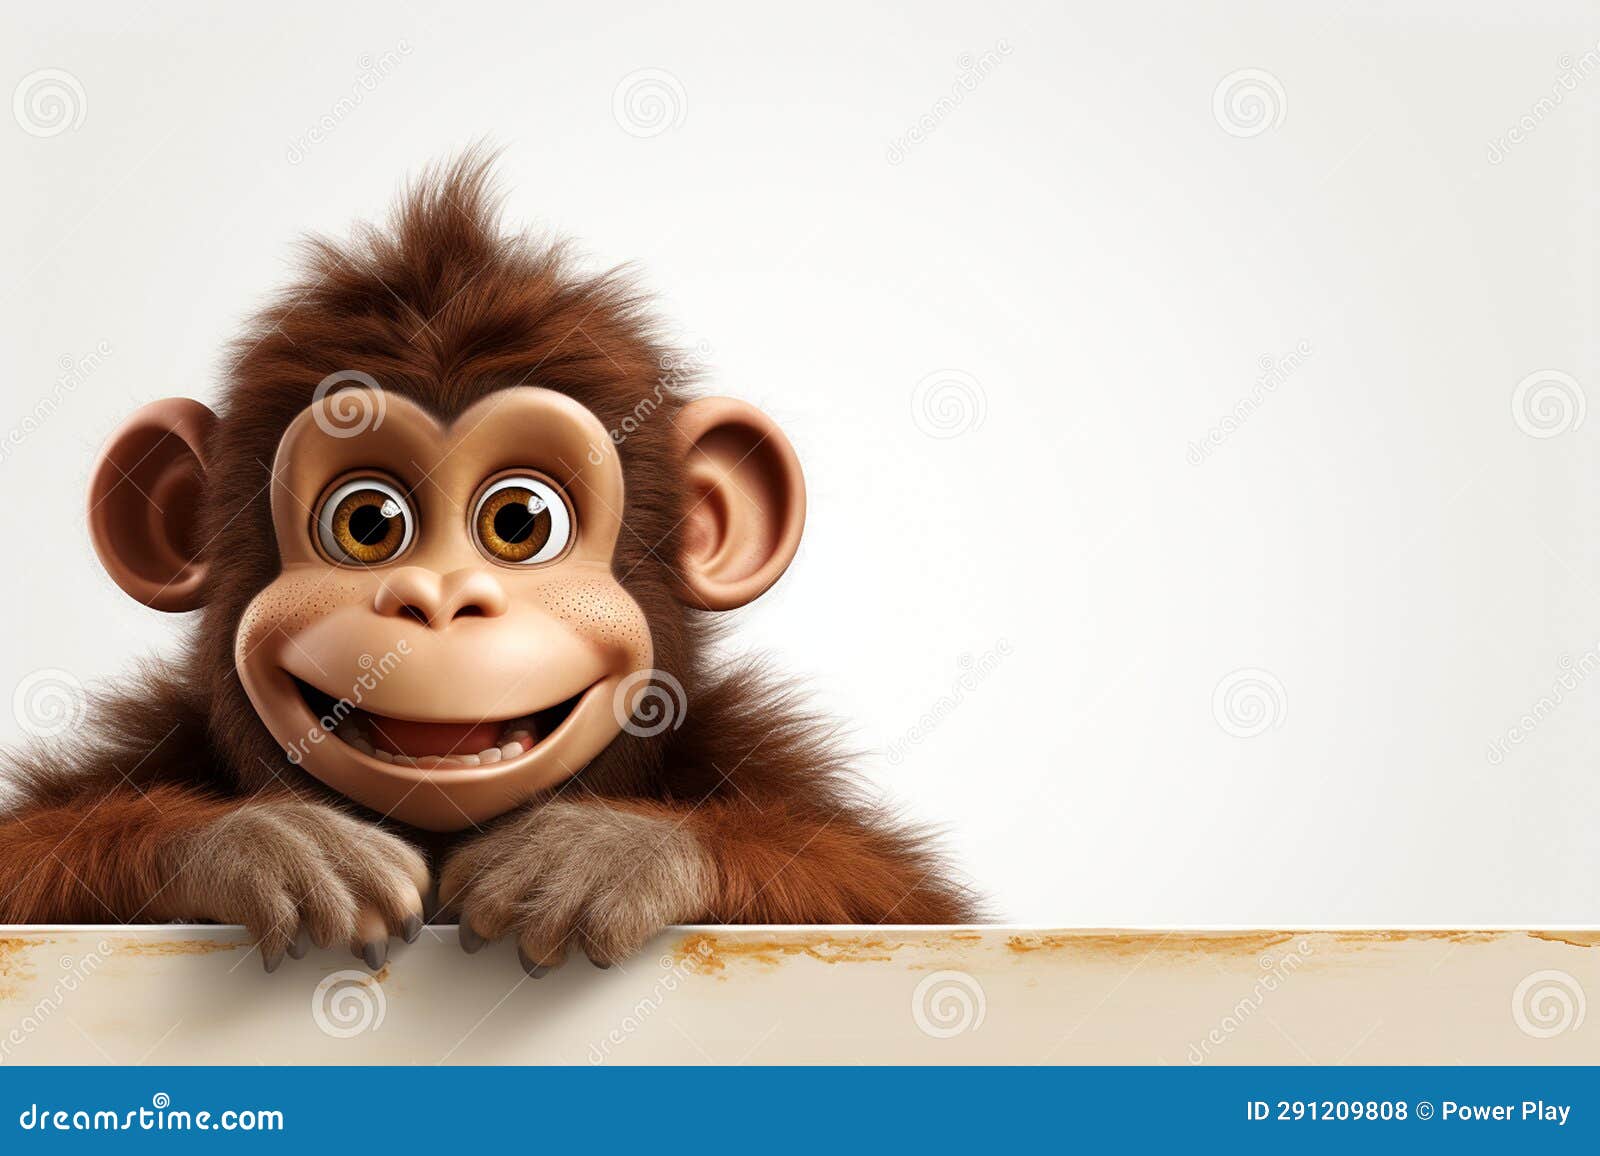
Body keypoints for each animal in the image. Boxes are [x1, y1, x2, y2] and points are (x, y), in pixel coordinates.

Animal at [0, 152, 978, 974]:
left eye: (519, 521)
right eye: (367, 523)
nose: (437, 602)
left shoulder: (758, 756)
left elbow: (902, 908)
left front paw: (619, 850)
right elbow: (23, 858)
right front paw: (259, 844)